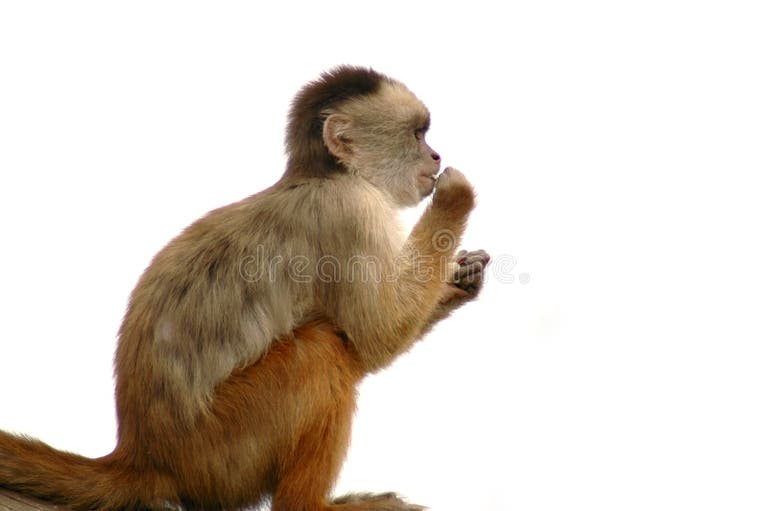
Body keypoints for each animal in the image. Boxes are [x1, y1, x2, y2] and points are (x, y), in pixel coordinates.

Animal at [0, 66, 490, 511]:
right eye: (418, 135)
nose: (435, 156)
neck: (327, 176)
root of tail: (142, 452)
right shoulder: (349, 211)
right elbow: (377, 338)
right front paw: (456, 196)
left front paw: (459, 278)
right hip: (220, 451)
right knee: (322, 350)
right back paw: (308, 504)